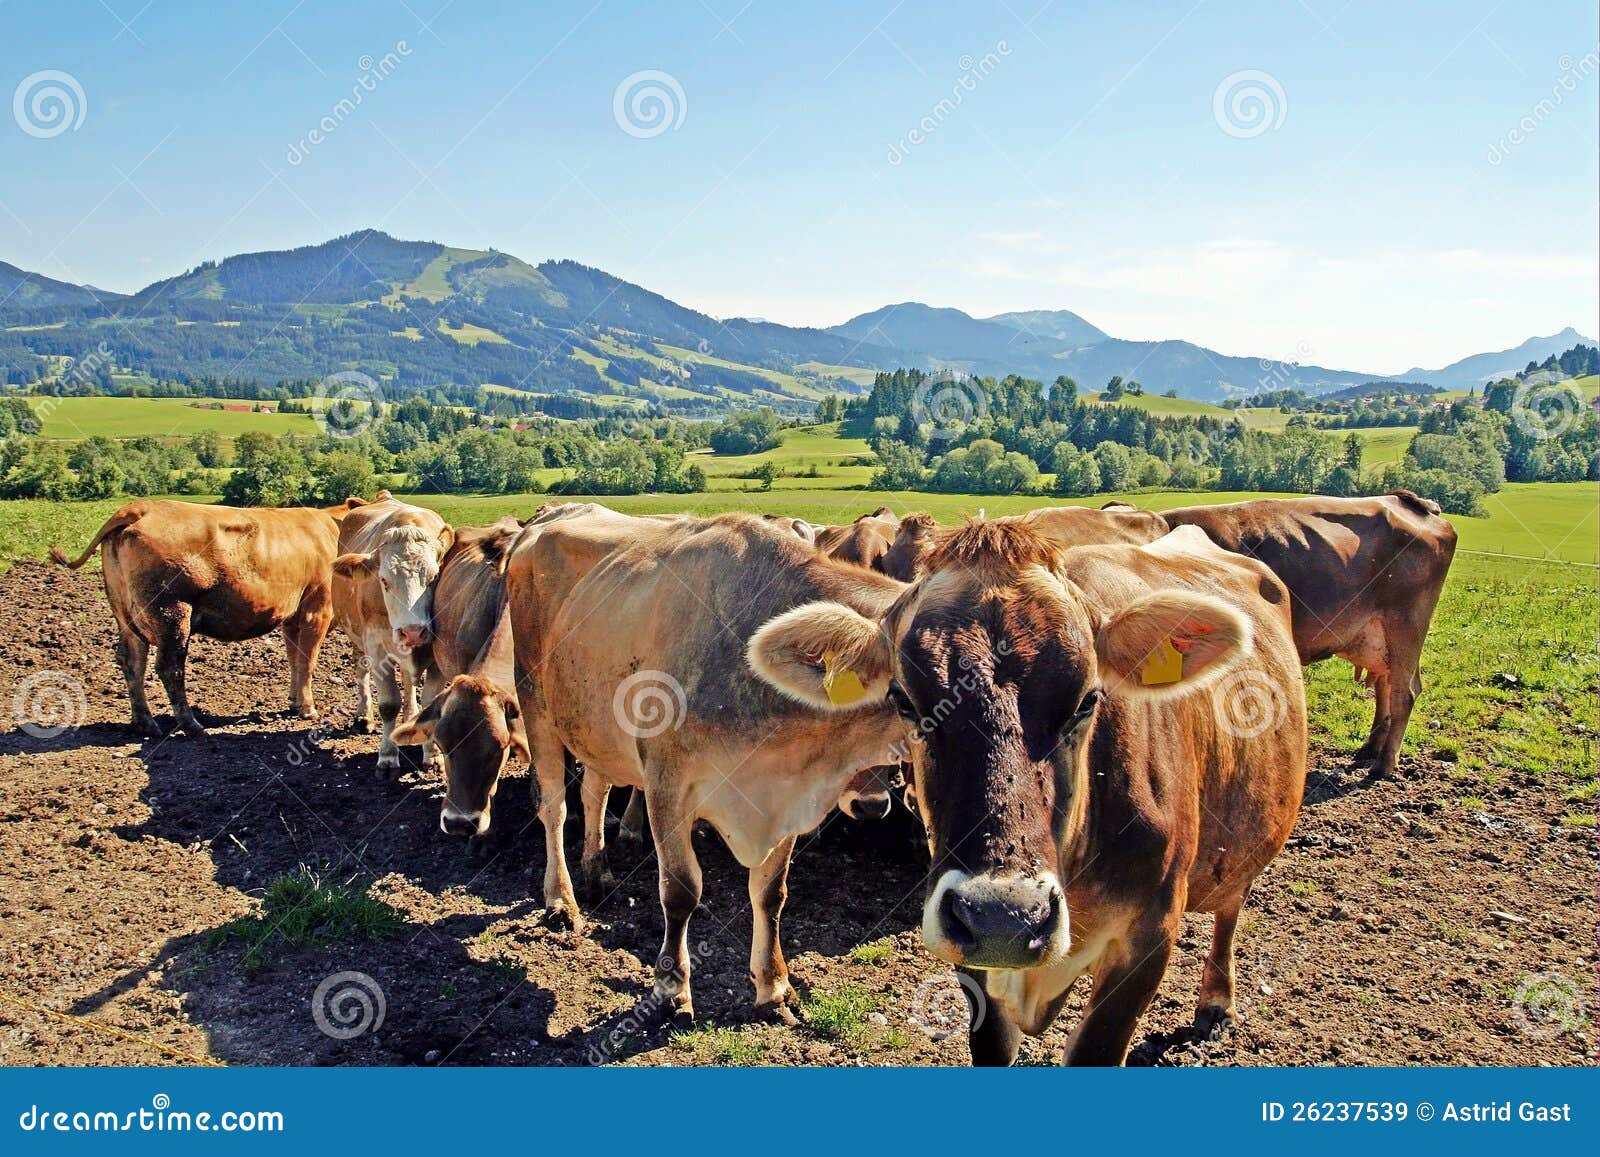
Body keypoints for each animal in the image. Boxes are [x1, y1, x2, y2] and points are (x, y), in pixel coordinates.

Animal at [49, 497, 364, 736]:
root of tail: (140, 507)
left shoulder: (291, 616)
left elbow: (295, 660)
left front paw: (294, 702)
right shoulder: (317, 610)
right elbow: (307, 662)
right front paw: (308, 709)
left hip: (126, 616)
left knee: (132, 663)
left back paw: (145, 723)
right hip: (172, 614)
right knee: (169, 668)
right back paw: (190, 724)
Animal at [330, 496, 455, 771]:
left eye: (434, 577)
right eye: (384, 581)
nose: (413, 632)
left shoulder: (436, 654)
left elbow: (430, 701)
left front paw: (432, 755)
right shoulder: (376, 648)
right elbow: (388, 704)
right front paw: (387, 756)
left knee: (408, 681)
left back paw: (410, 716)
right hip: (357, 639)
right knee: (361, 671)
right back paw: (363, 716)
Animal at [502, 509, 911, 1023]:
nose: (875, 806)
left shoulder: (789, 795)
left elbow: (771, 893)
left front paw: (773, 986)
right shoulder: (667, 784)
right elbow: (681, 891)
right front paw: (672, 988)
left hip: (594, 725)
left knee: (594, 792)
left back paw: (597, 872)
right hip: (535, 701)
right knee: (554, 807)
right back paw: (561, 899)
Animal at [747, 518, 1308, 1065]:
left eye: (1088, 700)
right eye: (905, 702)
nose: (1003, 917)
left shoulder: (1148, 939)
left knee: (1231, 905)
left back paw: (1216, 1002)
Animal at [1153, 491, 1455, 776]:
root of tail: (1407, 501)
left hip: (1406, 624)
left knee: (1404, 694)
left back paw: (1383, 765)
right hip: (1383, 638)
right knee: (1387, 686)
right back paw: (1370, 749)